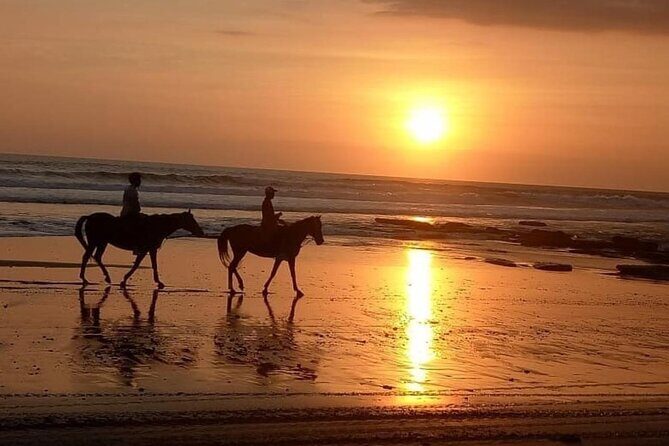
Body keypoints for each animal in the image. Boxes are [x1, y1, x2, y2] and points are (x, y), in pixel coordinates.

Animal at [75, 210, 204, 288]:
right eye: (191, 220)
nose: (201, 232)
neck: (157, 225)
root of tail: (90, 217)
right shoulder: (150, 248)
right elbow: (144, 264)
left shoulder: (147, 249)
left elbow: (141, 264)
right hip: (95, 241)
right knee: (86, 257)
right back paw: (84, 278)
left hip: (102, 242)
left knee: (97, 257)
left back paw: (106, 277)